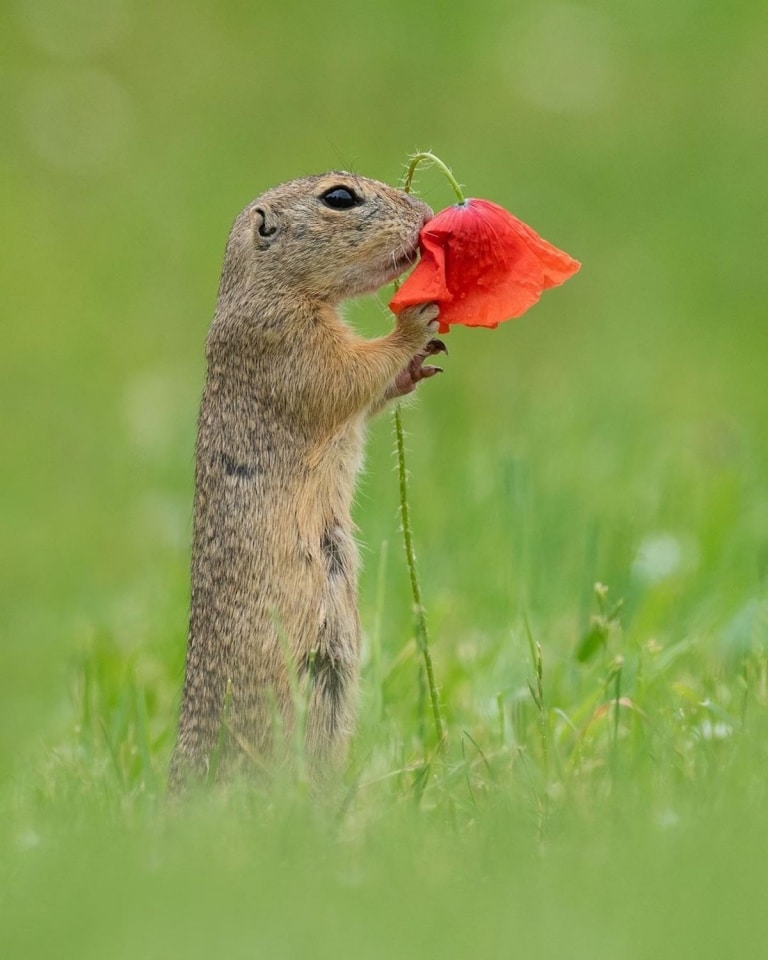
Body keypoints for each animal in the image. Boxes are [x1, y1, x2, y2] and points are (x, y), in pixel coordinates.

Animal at [169, 172, 445, 789]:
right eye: (339, 197)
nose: (426, 213)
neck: (271, 288)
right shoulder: (288, 343)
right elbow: (348, 375)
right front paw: (416, 322)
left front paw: (418, 365)